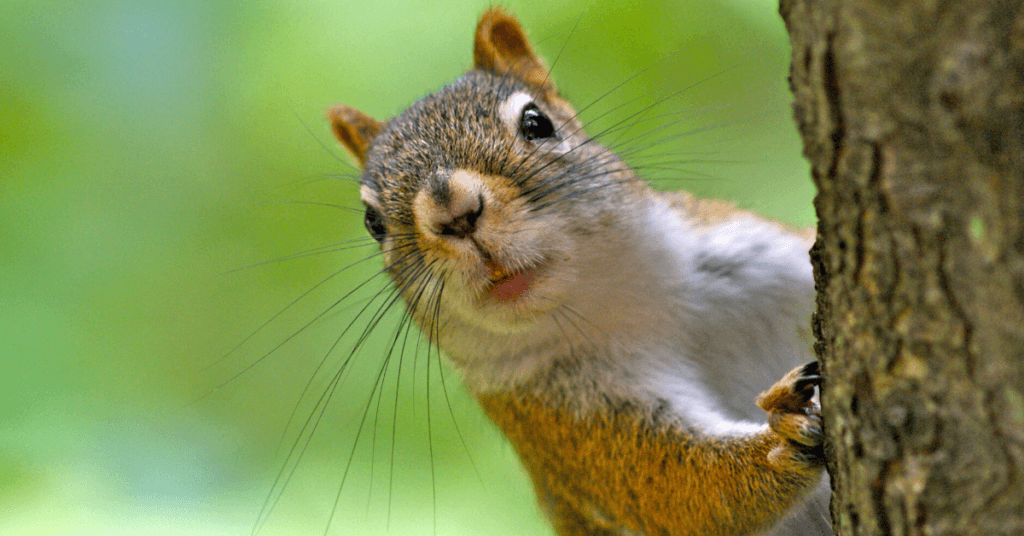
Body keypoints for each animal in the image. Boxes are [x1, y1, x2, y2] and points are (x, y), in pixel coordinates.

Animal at [325, 7, 831, 536]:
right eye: (372, 221)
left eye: (536, 122)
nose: (454, 214)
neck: (618, 301)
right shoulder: (561, 420)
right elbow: (679, 487)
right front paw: (782, 438)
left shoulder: (758, 254)